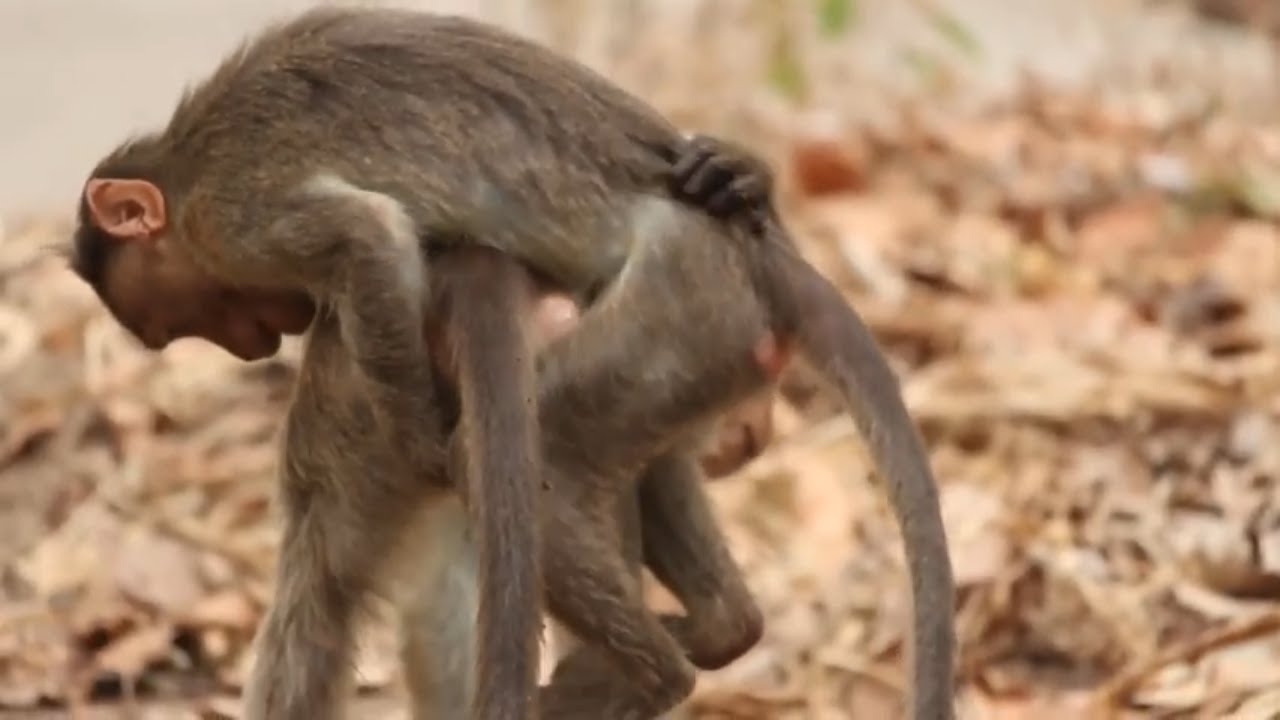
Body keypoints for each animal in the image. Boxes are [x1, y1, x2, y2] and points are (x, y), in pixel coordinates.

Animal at [68, 8, 954, 719]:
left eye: (169, 323)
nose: (252, 345)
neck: (184, 167)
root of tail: (762, 263)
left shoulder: (236, 220)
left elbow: (369, 238)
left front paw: (420, 439)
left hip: (688, 300)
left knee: (548, 439)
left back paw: (655, 673)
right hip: (704, 343)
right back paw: (720, 624)